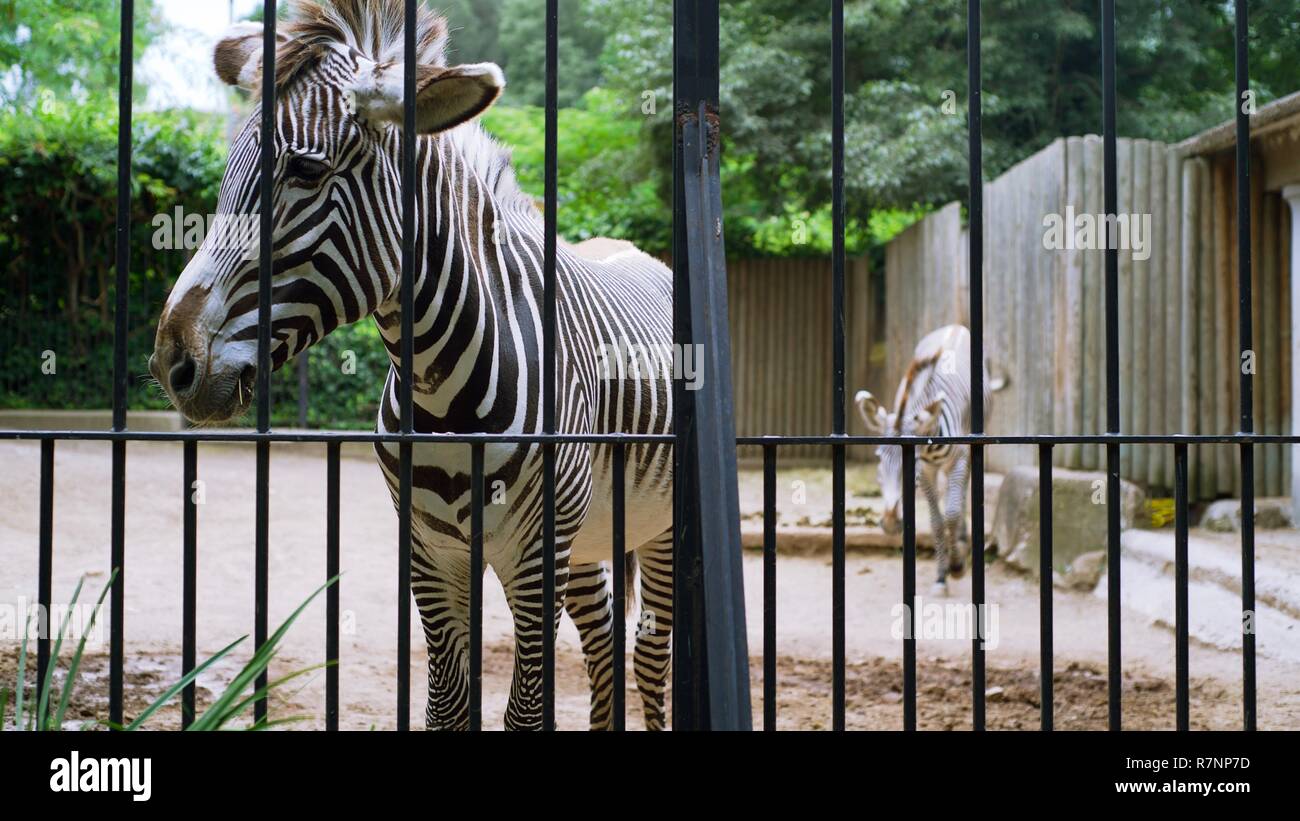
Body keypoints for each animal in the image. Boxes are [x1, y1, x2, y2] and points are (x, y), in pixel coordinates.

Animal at [148, 0, 674, 730]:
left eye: (305, 173)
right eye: (227, 172)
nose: (173, 362)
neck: (441, 387)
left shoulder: (534, 555)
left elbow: (525, 711)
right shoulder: (429, 555)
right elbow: (447, 707)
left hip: (658, 526)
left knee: (650, 655)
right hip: (591, 535)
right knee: (602, 645)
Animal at [854, 324, 1004, 595]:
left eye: (910, 461)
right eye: (879, 458)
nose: (890, 523)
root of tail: (955, 327)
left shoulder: (956, 458)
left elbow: (951, 513)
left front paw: (956, 566)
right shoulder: (926, 471)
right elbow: (936, 521)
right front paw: (941, 576)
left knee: (961, 493)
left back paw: (962, 540)